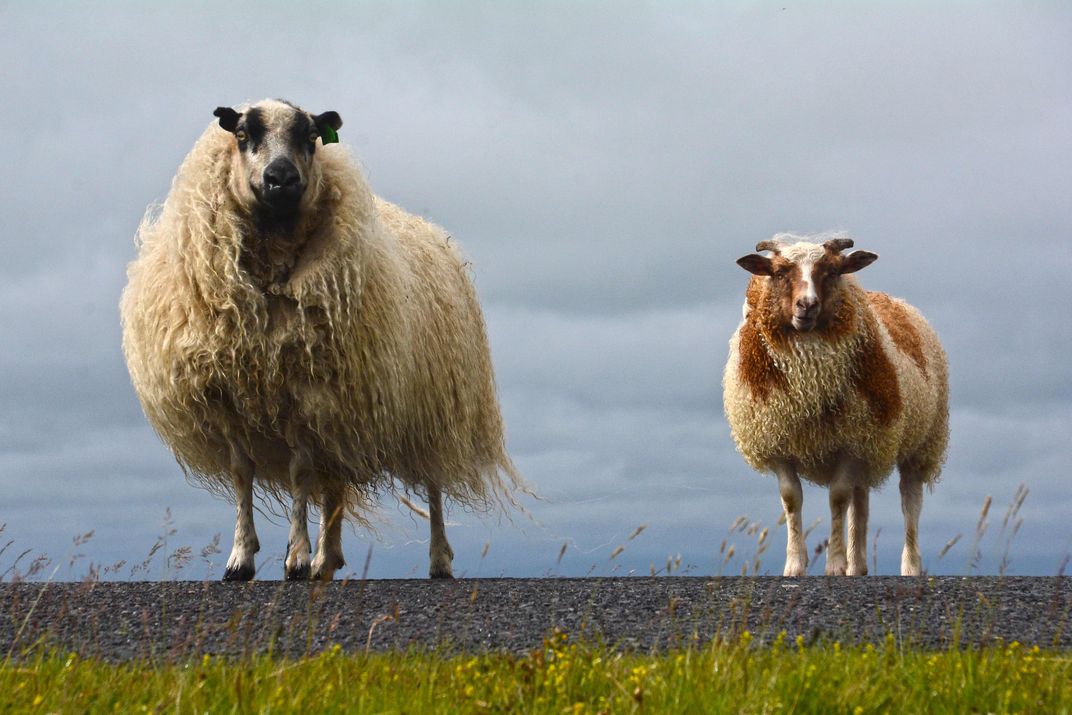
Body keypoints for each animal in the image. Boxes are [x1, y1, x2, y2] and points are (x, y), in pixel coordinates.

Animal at [120, 99, 523, 581]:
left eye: (311, 136)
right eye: (243, 133)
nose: (281, 178)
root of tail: (433, 233)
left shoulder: (308, 390)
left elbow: (299, 472)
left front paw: (294, 556)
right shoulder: (230, 398)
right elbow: (241, 473)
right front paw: (242, 558)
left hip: (431, 405)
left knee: (433, 481)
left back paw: (438, 559)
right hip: (346, 414)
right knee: (333, 486)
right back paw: (326, 561)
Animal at [722, 234, 948, 576]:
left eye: (831, 271)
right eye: (779, 272)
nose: (807, 305)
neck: (808, 380)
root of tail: (897, 301)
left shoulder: (850, 441)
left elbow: (837, 498)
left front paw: (835, 564)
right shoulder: (778, 441)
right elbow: (792, 499)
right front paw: (795, 565)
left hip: (919, 442)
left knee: (910, 499)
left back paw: (909, 566)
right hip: (873, 444)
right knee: (861, 503)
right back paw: (859, 566)